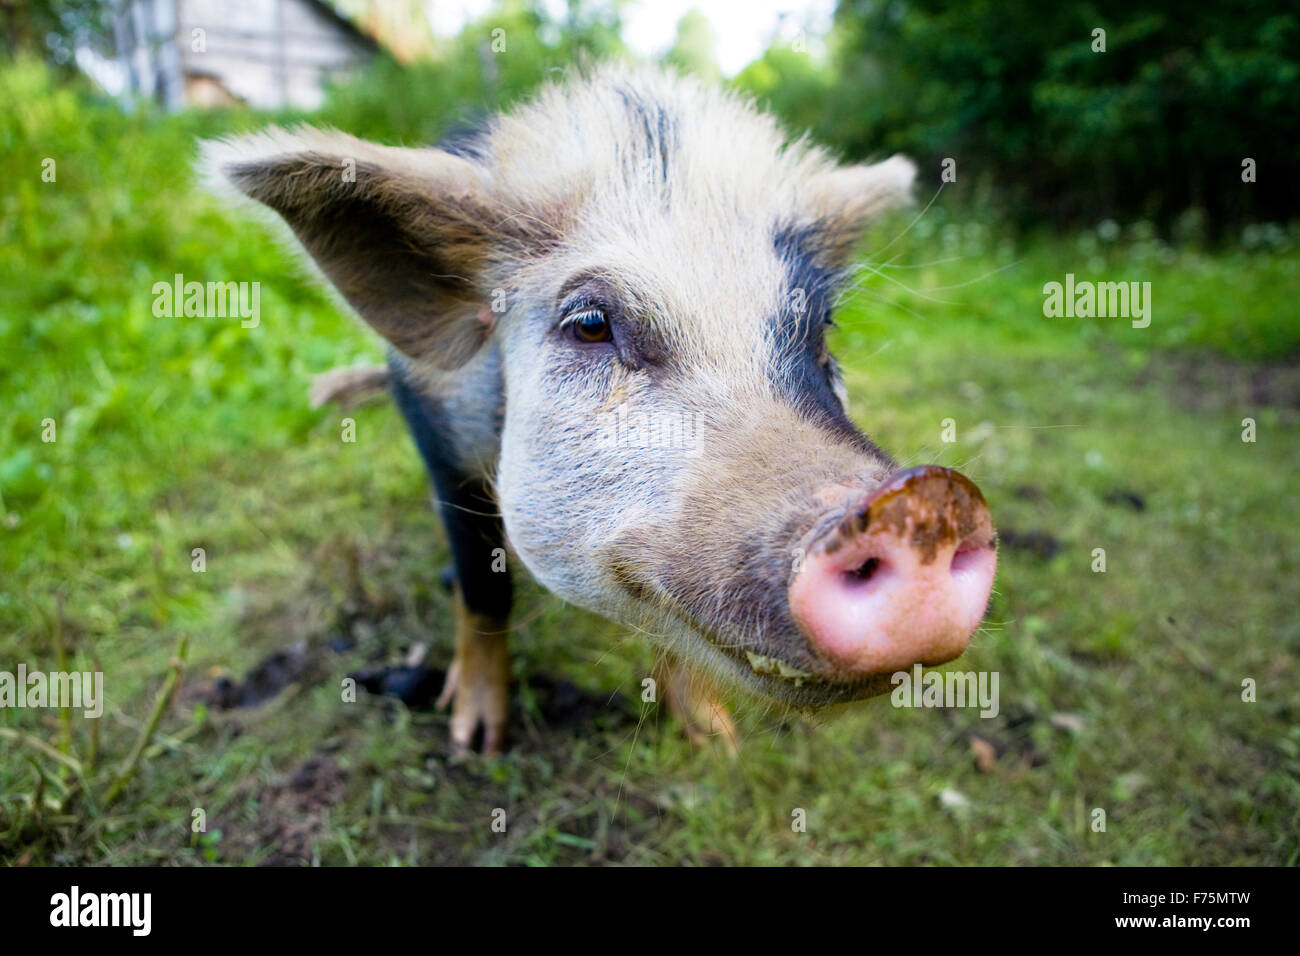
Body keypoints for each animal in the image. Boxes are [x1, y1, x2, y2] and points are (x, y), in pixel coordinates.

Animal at [201, 65, 997, 755]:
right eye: (589, 324)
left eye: (823, 333)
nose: (927, 497)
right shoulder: (433, 427)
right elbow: (484, 583)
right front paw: (475, 740)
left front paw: (716, 740)